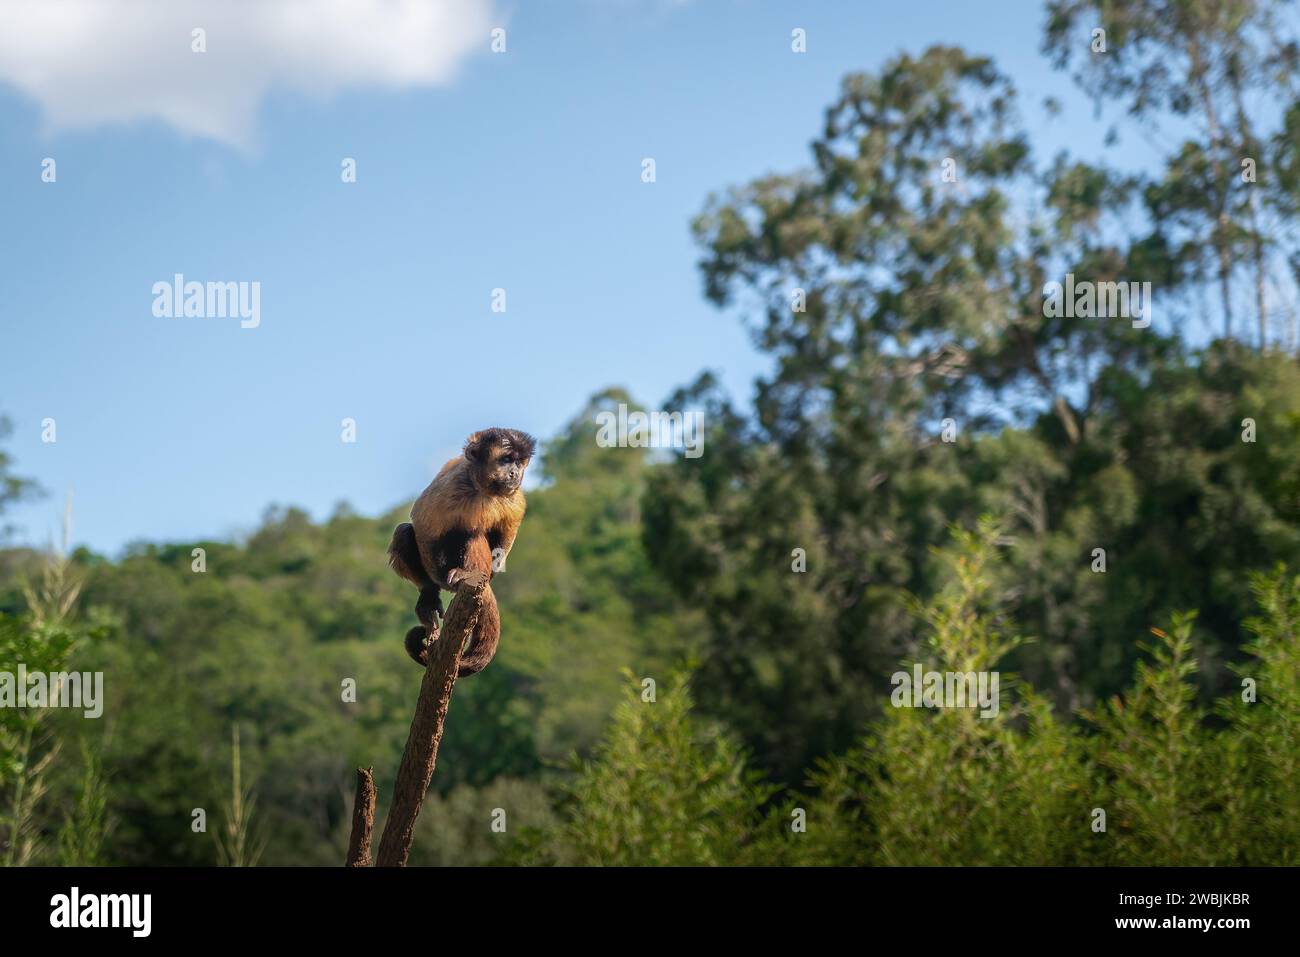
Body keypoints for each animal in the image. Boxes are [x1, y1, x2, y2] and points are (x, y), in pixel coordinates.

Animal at [386, 428, 535, 676]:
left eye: (518, 461)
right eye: (506, 459)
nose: (515, 472)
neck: (483, 490)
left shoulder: (514, 498)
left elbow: (504, 538)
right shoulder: (451, 486)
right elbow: (422, 523)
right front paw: (430, 589)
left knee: (473, 535)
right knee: (407, 532)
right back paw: (429, 592)